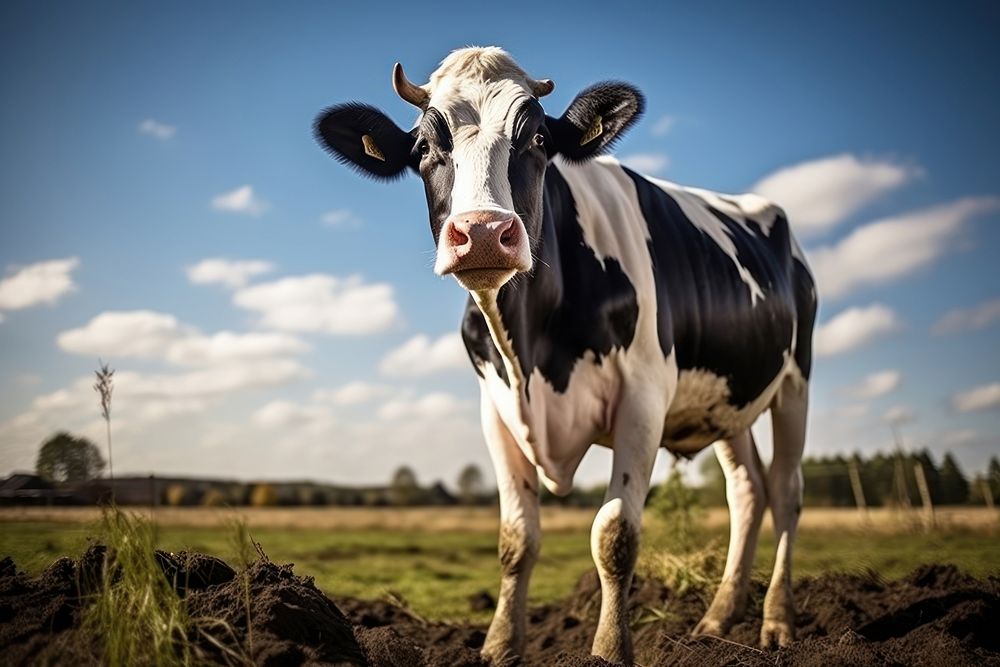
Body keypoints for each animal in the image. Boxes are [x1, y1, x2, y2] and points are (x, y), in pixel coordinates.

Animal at [314, 47, 816, 665]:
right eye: (426, 148)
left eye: (535, 139)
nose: (483, 232)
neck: (532, 348)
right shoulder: (496, 406)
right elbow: (516, 538)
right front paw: (499, 646)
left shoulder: (644, 397)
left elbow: (615, 534)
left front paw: (608, 650)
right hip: (727, 399)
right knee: (747, 492)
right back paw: (718, 620)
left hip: (794, 381)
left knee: (787, 492)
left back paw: (777, 623)